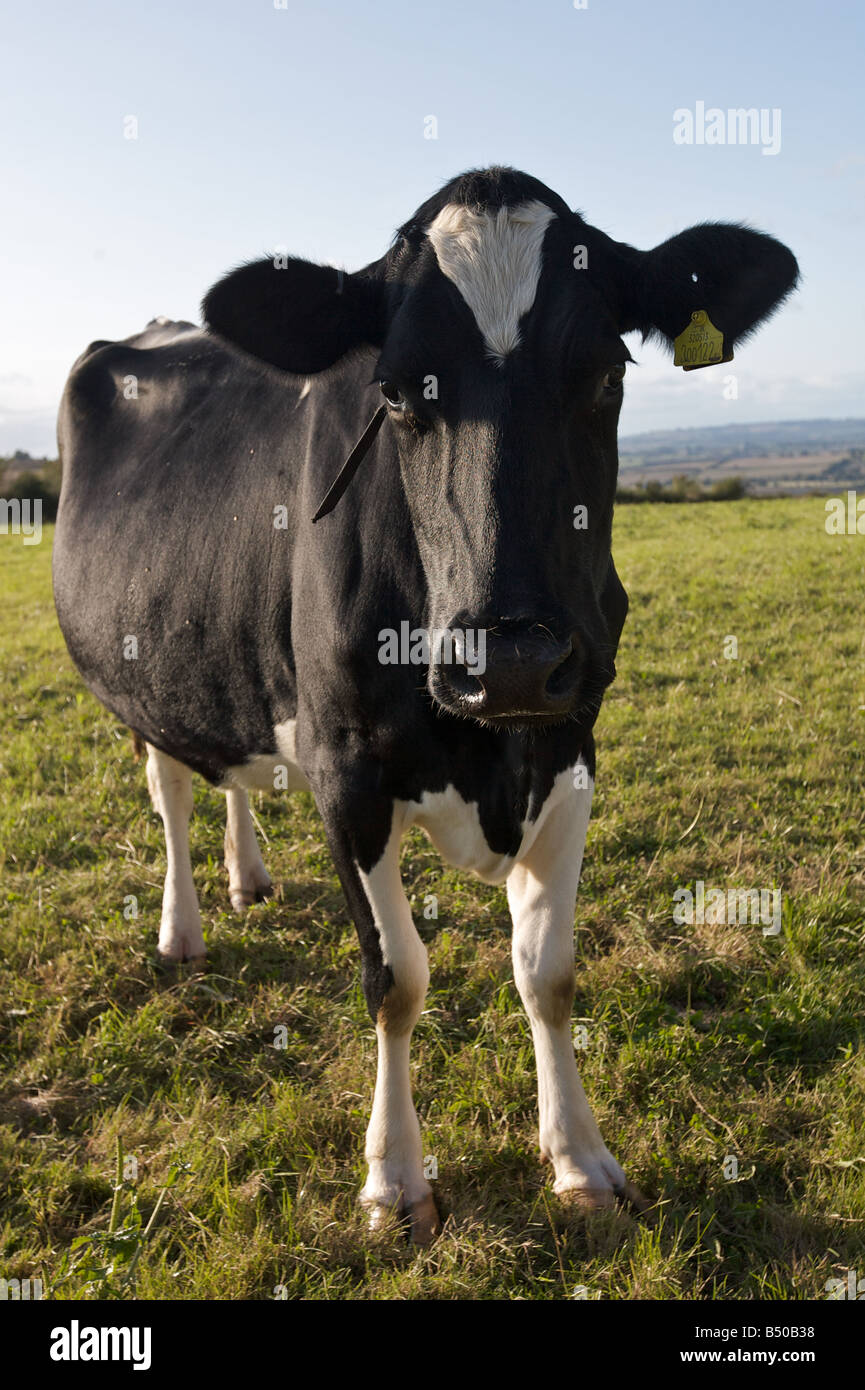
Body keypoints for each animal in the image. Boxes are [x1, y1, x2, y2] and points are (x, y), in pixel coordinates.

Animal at [53, 166, 798, 1243]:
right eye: (397, 393)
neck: (487, 756)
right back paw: (182, 927)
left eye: (606, 374)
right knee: (173, 789)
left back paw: (248, 877)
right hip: (141, 673)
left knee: (228, 771)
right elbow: (395, 979)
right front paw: (395, 1179)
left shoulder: (571, 747)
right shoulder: (345, 770)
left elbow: (547, 971)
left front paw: (580, 1159)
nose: (511, 659)